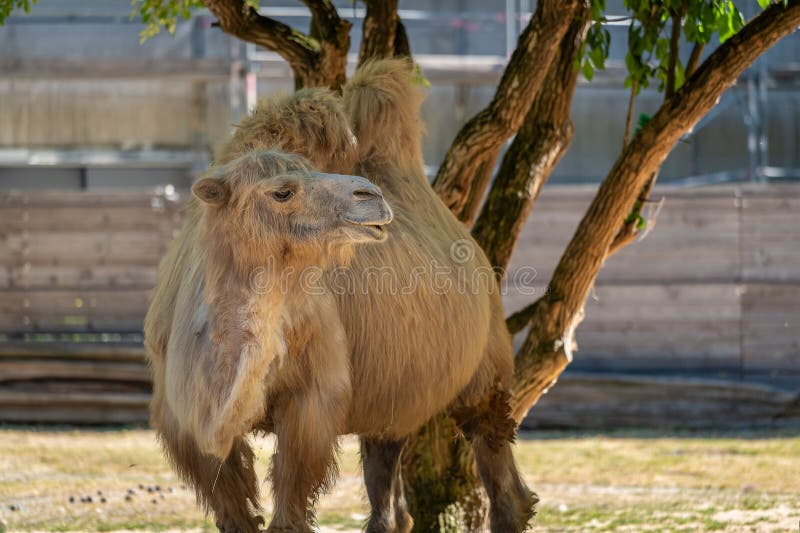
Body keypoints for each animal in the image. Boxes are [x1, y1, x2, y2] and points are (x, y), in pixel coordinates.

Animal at [145, 60, 535, 533]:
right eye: (282, 191)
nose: (371, 196)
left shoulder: (312, 402)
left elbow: (290, 511)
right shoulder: (183, 423)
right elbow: (235, 514)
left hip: (486, 365)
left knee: (495, 456)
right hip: (392, 396)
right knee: (388, 487)